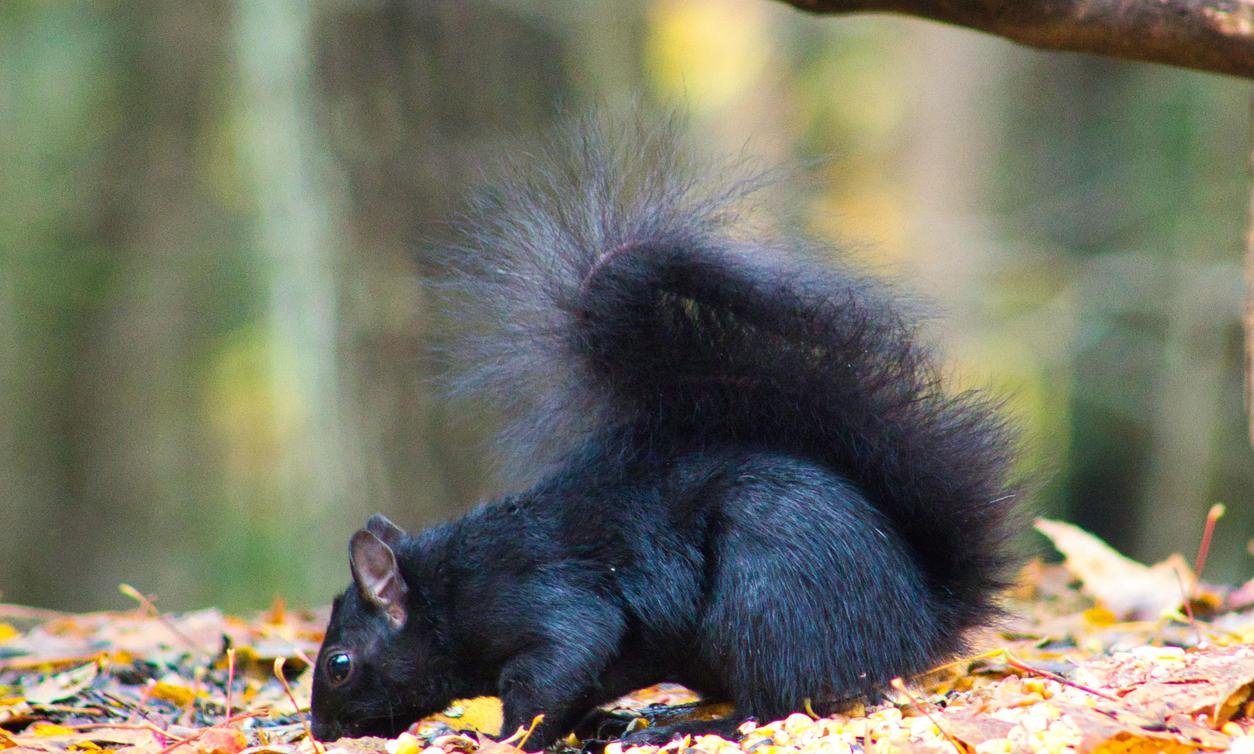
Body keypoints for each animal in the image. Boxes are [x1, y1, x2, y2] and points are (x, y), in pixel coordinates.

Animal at [309, 116, 1021, 750]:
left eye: (338, 664)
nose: (318, 729)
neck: (449, 593)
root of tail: (917, 620)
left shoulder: (547, 599)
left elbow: (555, 670)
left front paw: (501, 738)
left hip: (768, 598)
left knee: (774, 703)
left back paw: (686, 726)